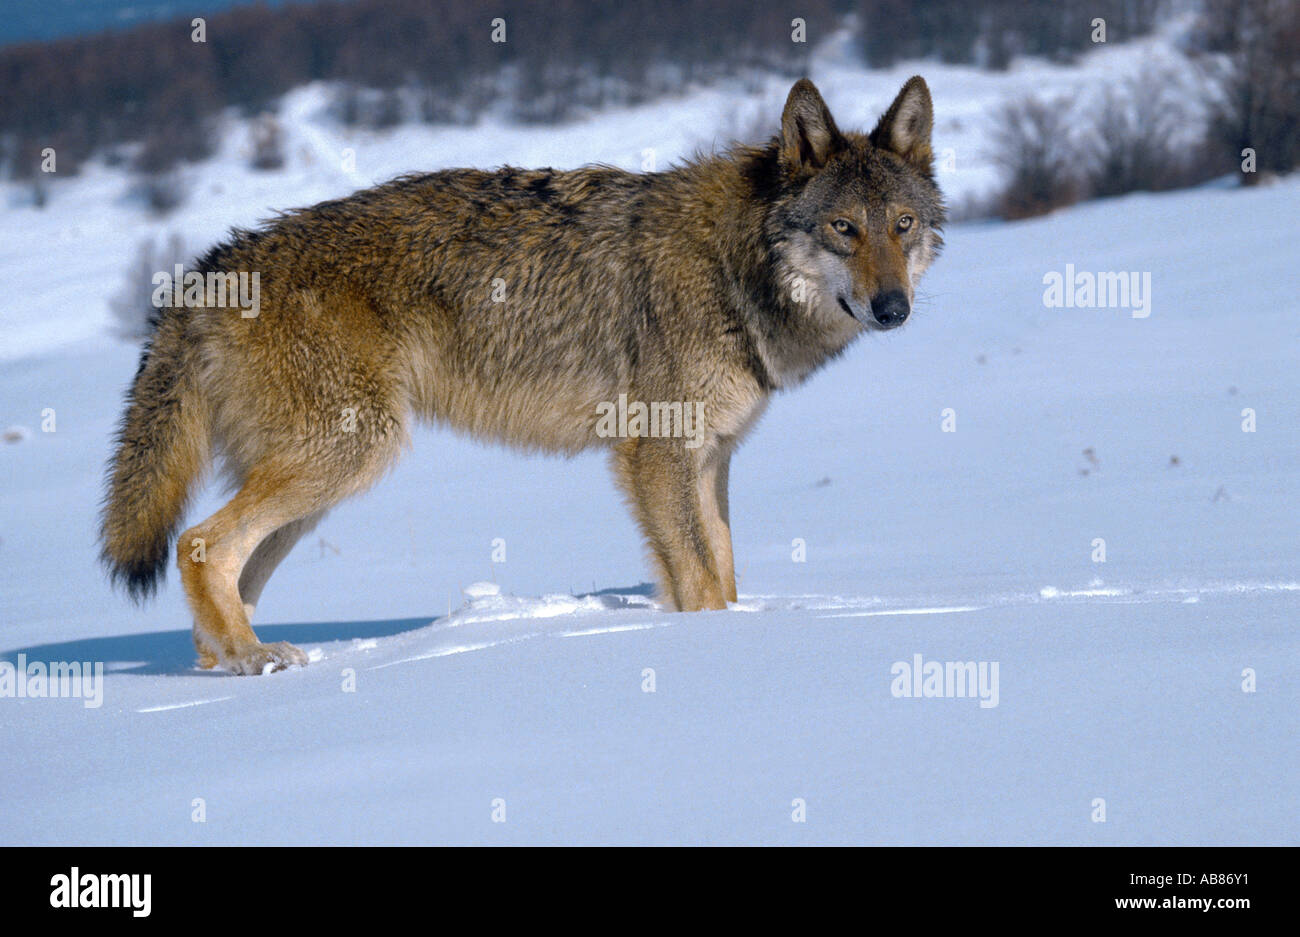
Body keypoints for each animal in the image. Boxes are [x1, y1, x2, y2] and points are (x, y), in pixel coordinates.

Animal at [100, 77, 944, 674]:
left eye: (901, 226)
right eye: (844, 228)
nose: (893, 308)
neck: (732, 266)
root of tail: (209, 270)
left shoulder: (710, 457)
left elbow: (723, 578)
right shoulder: (655, 455)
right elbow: (703, 586)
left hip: (319, 484)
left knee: (222, 580)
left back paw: (238, 664)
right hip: (347, 456)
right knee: (198, 545)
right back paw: (254, 658)